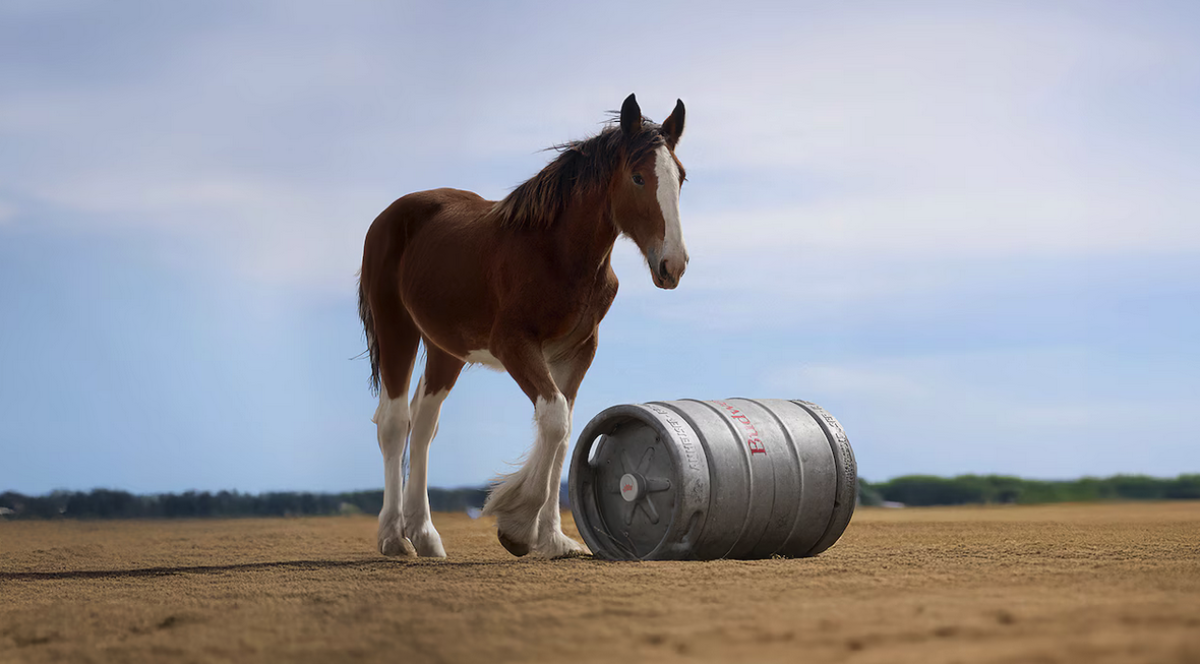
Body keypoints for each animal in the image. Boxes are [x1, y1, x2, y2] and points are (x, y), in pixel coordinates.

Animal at [357, 93, 688, 558]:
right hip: (396, 328)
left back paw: (424, 533)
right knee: (394, 423)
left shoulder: (577, 353)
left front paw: (554, 538)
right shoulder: (513, 345)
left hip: (446, 349)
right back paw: (393, 537)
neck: (556, 252)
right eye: (638, 177)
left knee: (423, 426)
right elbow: (554, 419)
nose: (672, 264)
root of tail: (390, 216)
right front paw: (517, 524)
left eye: (681, 178)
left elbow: (565, 433)